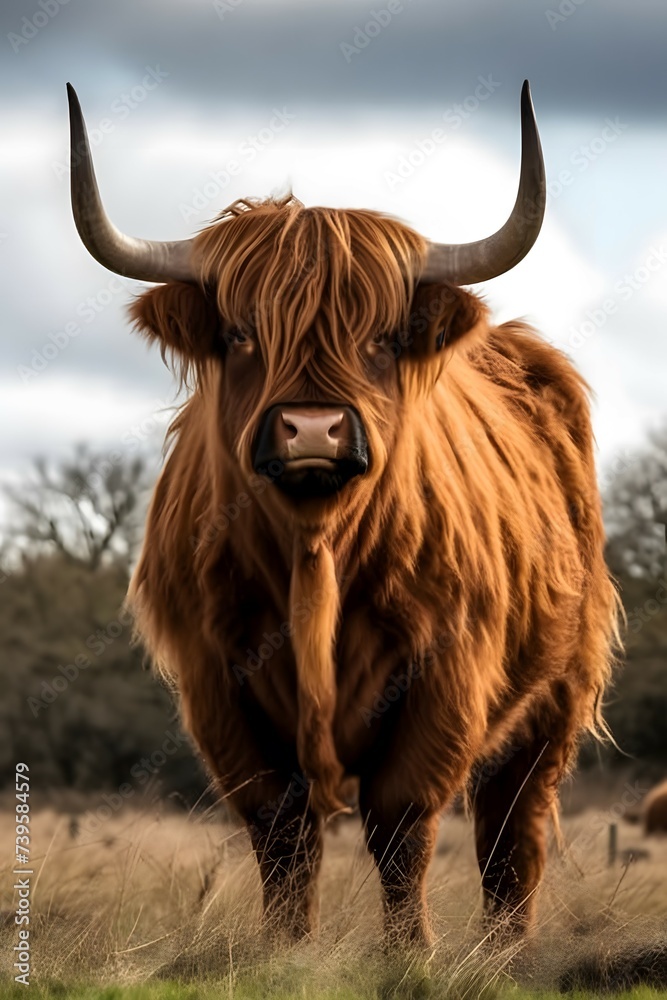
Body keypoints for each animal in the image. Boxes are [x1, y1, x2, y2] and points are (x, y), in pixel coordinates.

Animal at [67, 81, 621, 947]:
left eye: (381, 339)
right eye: (240, 334)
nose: (312, 430)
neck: (315, 551)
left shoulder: (446, 673)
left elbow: (401, 824)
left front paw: (410, 956)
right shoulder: (217, 684)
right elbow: (281, 831)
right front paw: (282, 951)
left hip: (554, 697)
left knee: (512, 835)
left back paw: (505, 956)